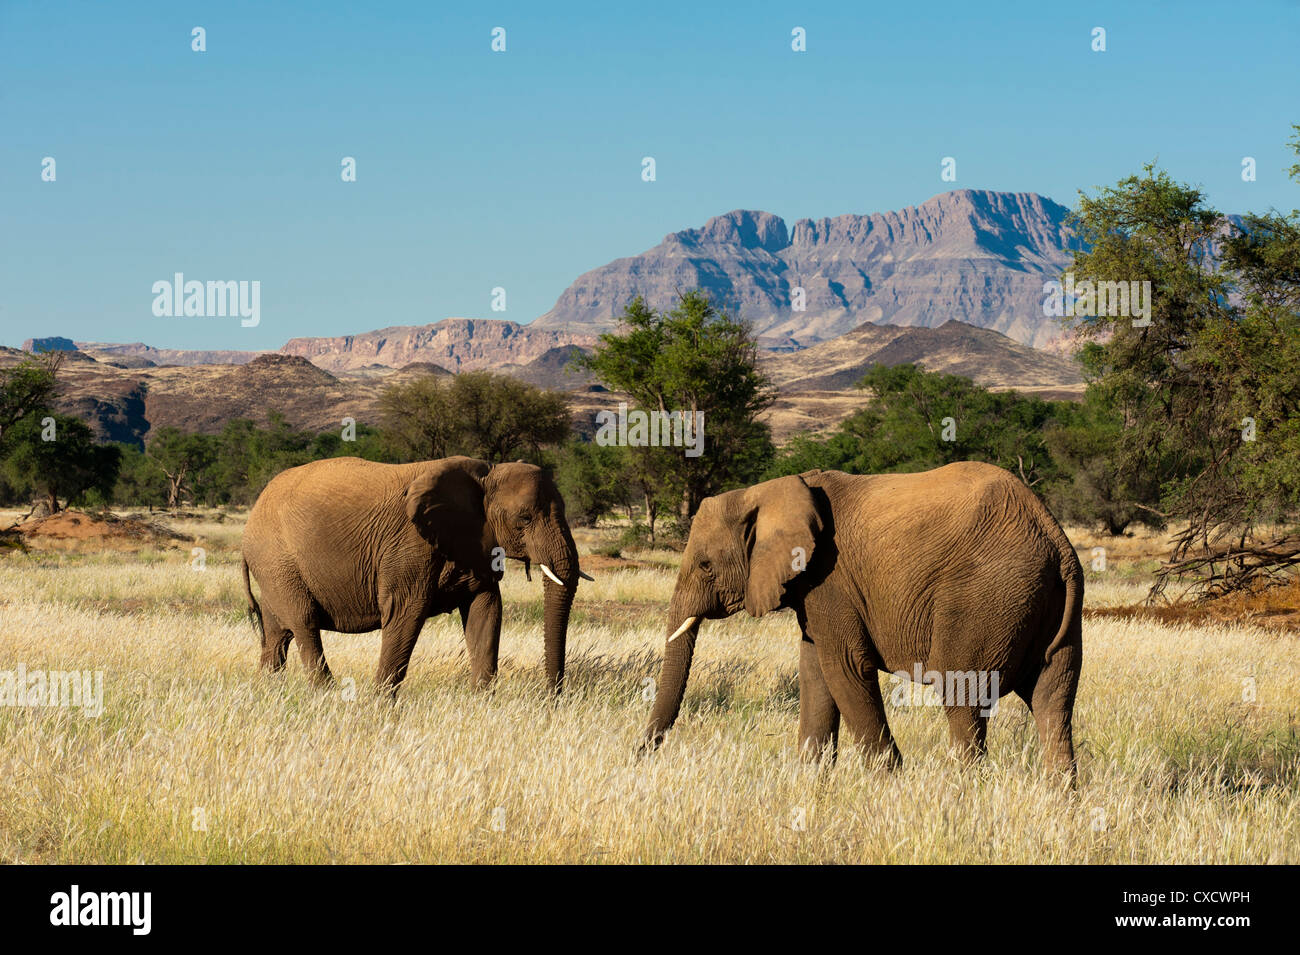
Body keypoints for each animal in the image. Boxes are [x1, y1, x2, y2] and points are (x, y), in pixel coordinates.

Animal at [240, 455, 588, 696]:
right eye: (524, 519)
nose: (552, 699)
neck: (486, 473)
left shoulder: (478, 544)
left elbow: (486, 611)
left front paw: (482, 701)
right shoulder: (409, 547)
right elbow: (405, 612)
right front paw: (379, 705)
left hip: (273, 567)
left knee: (277, 635)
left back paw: (267, 691)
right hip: (277, 559)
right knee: (304, 623)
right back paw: (328, 695)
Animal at [643, 462, 1083, 778]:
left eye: (705, 566)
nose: (641, 754)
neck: (766, 490)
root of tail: (1054, 538)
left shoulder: (830, 578)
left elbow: (846, 668)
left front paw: (889, 786)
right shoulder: (815, 591)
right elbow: (815, 672)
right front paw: (811, 784)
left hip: (983, 599)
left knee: (964, 703)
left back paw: (961, 797)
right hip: (1050, 614)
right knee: (1054, 703)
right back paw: (1061, 804)